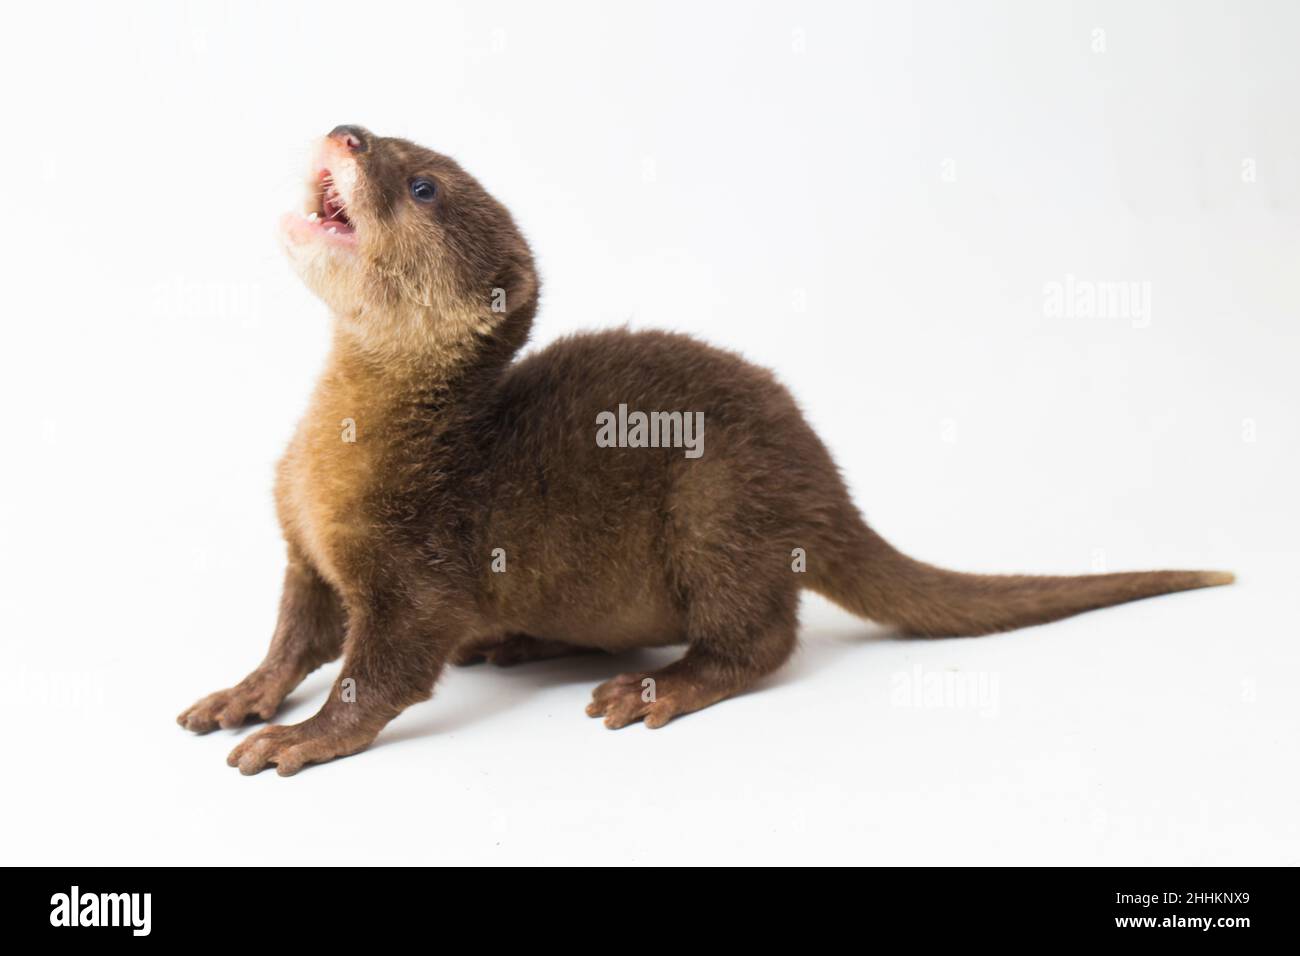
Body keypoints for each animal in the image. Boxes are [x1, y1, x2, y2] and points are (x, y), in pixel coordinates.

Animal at [177, 125, 1234, 775]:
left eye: (421, 183)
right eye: (392, 142)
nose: (350, 132)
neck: (357, 447)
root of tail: (824, 483)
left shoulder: (417, 563)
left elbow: (382, 669)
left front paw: (301, 739)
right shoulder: (307, 548)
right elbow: (296, 635)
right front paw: (240, 696)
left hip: (718, 503)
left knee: (761, 638)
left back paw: (657, 687)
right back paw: (518, 642)